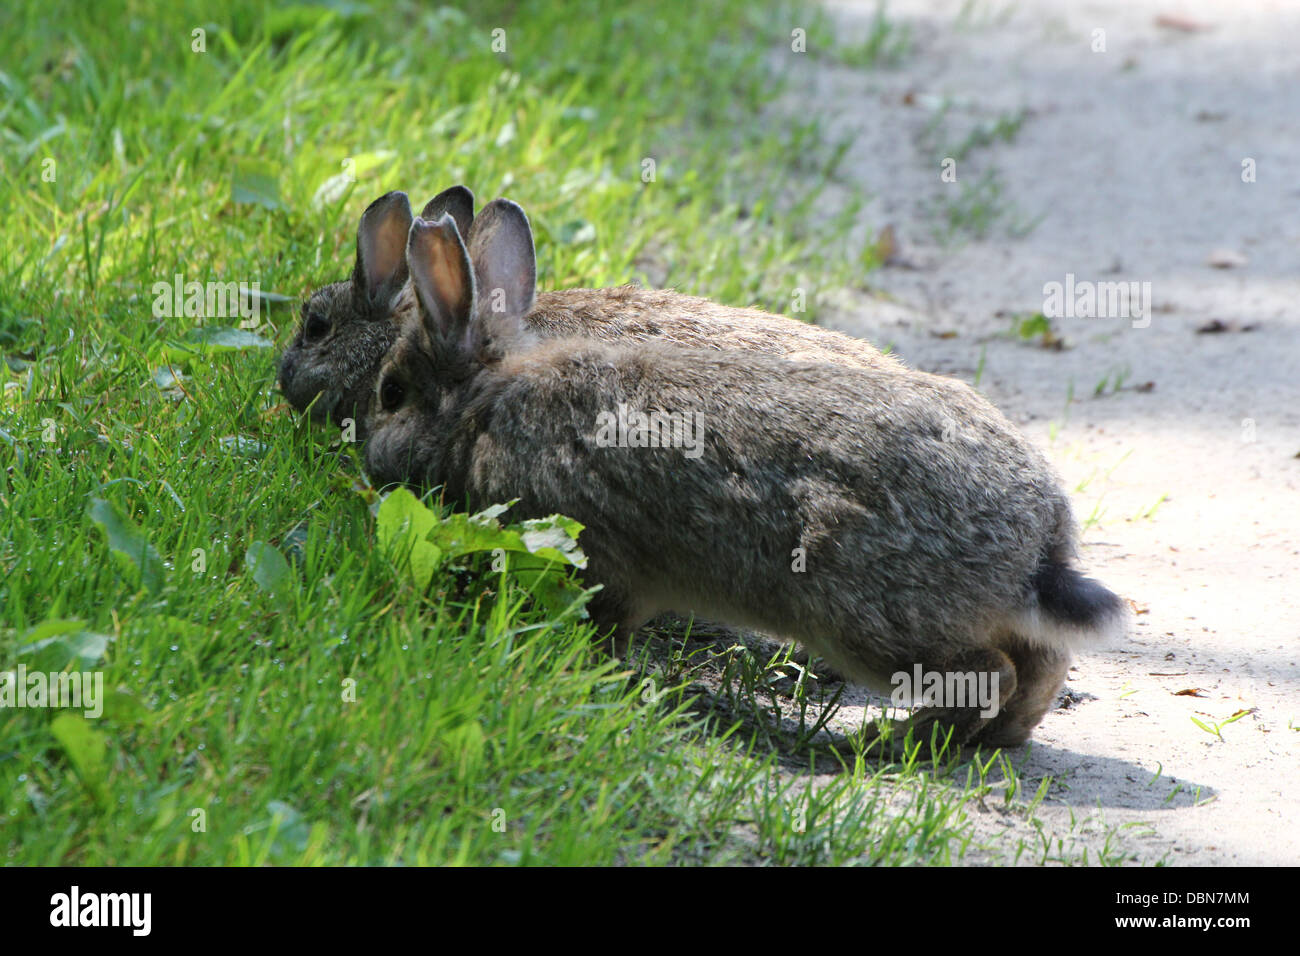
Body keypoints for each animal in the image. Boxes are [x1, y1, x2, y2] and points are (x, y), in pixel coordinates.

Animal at [362, 206, 1128, 752]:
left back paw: (889, 743)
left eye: (391, 392)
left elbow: (604, 624)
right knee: (1039, 671)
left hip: (865, 621)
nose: (369, 461)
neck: (483, 404)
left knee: (983, 674)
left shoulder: (600, 561)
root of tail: (1039, 540)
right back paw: (989, 742)